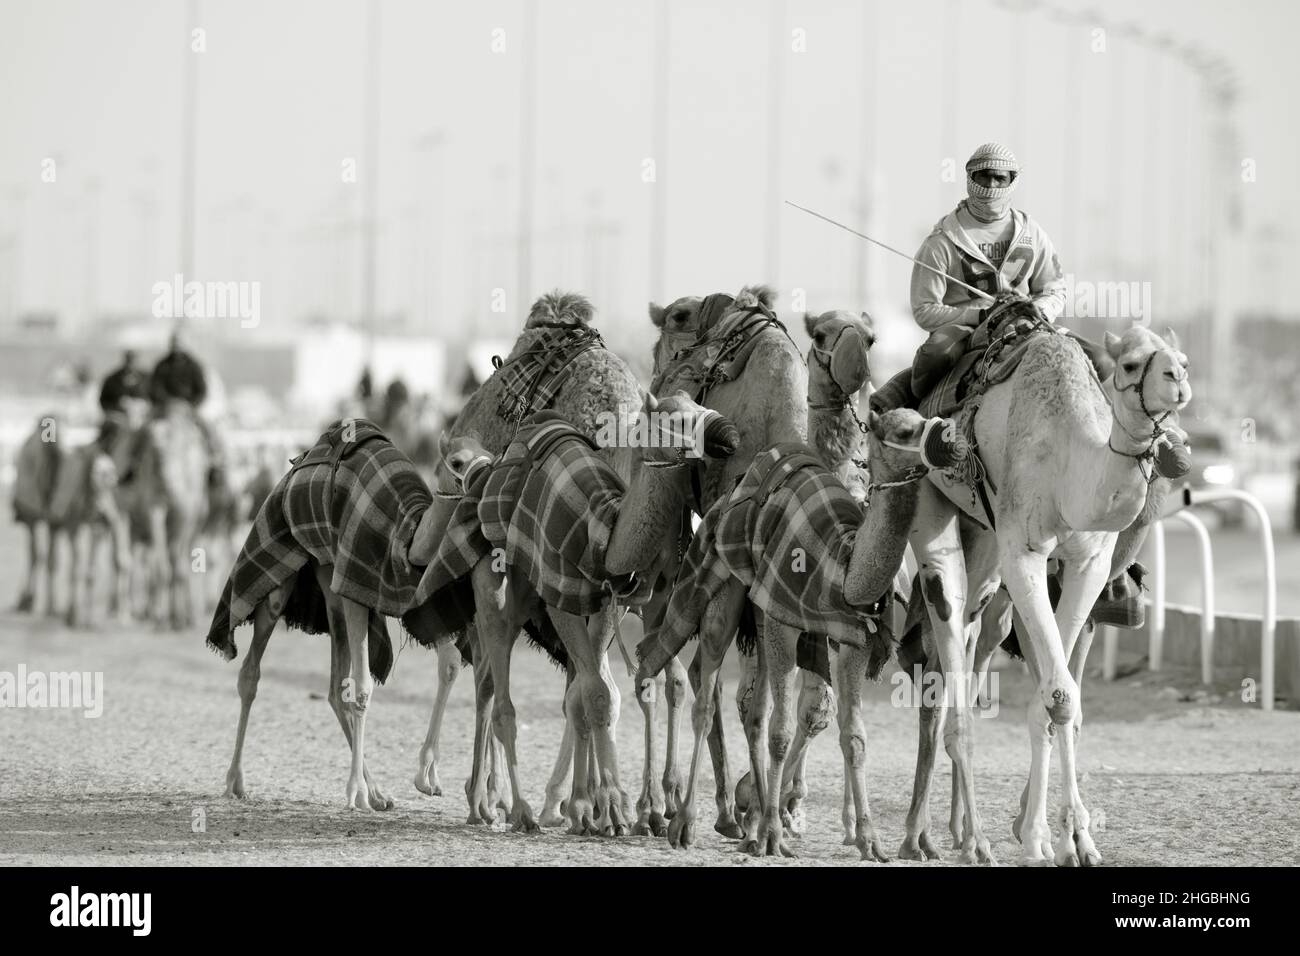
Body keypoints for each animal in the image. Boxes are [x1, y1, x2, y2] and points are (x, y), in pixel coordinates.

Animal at [902, 318, 1190, 866]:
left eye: (1184, 359)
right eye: (1129, 364)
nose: (1178, 381)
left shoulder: (1089, 565)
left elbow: (1062, 700)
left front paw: (1075, 840)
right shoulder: (1025, 553)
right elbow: (1057, 697)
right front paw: (1040, 840)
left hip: (987, 548)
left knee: (971, 644)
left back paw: (957, 832)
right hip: (932, 505)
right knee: (943, 649)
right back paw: (930, 838)